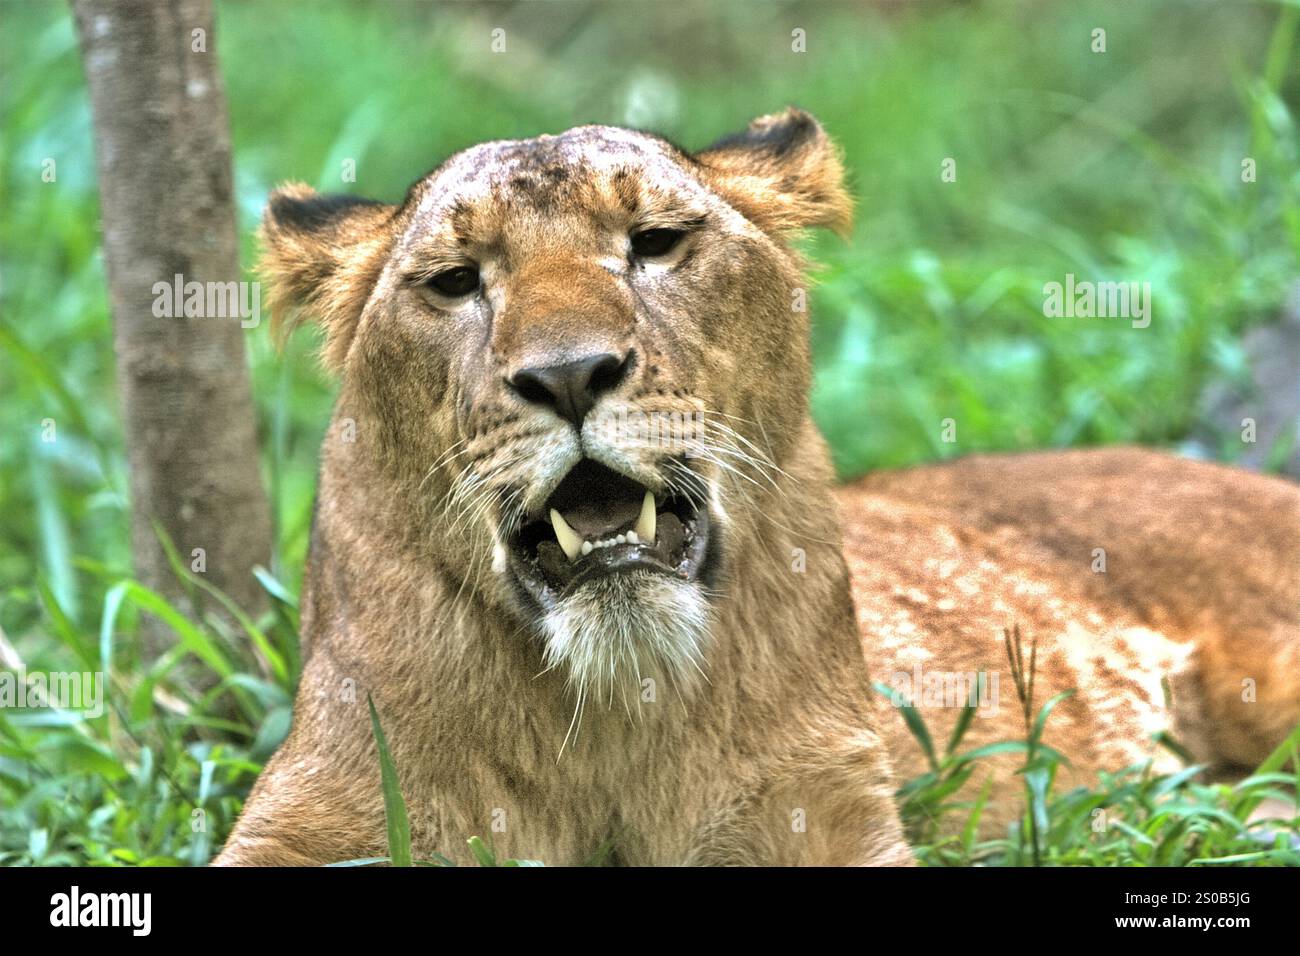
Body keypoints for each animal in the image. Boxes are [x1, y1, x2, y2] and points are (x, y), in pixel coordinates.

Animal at [215, 109, 1299, 866]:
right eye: (453, 281)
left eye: (654, 240)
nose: (569, 374)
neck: (608, 719)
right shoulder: (312, 814)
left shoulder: (822, 807)